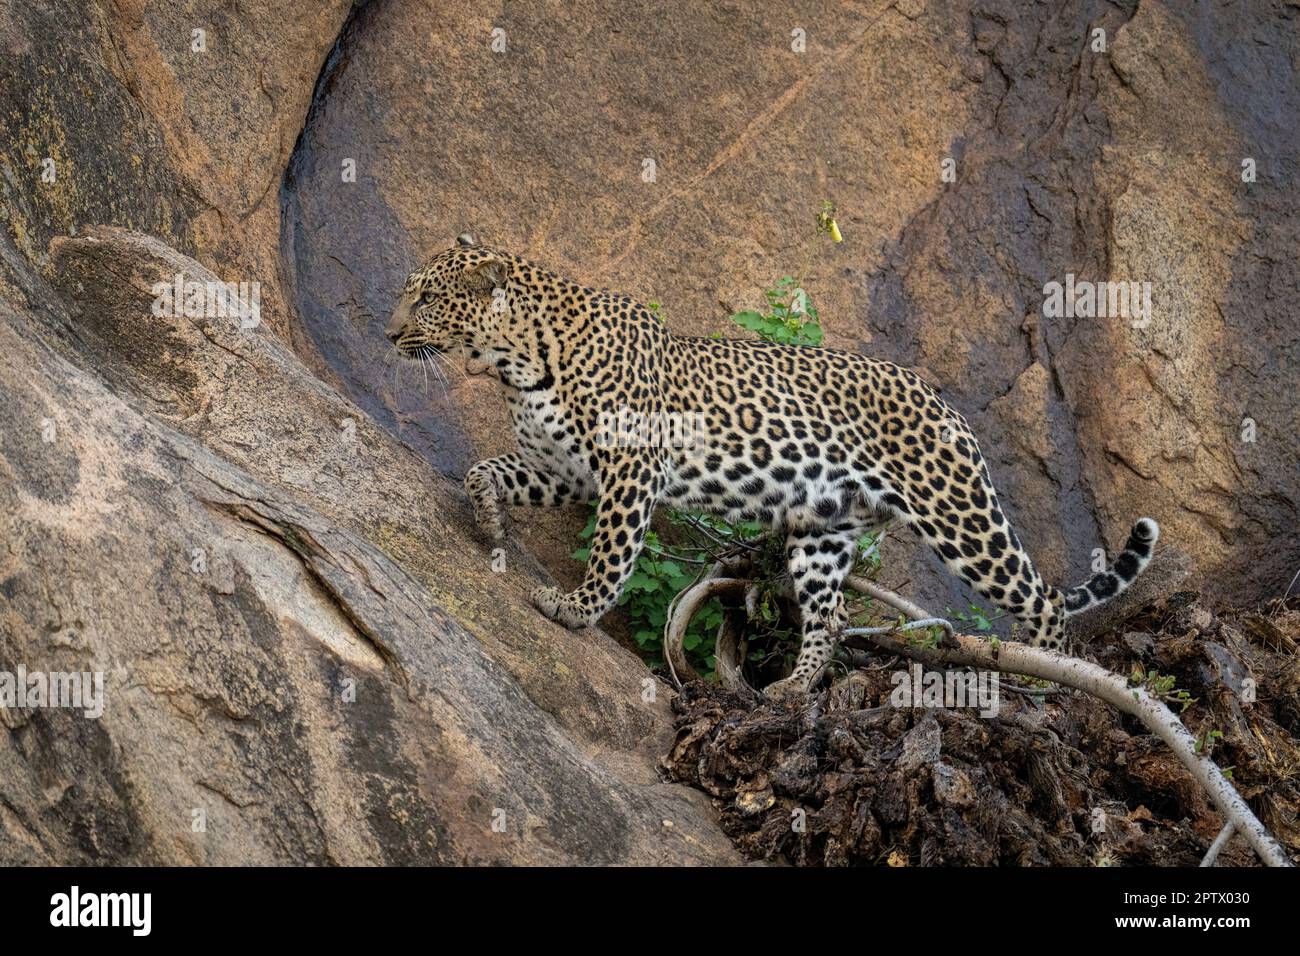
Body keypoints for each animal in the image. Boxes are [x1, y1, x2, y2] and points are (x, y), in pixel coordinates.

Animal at [386, 235, 1160, 699]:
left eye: (425, 296)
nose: (389, 332)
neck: (518, 363)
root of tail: (947, 404)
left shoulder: (629, 470)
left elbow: (611, 553)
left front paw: (575, 610)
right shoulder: (565, 470)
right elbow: (486, 470)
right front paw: (489, 523)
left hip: (960, 516)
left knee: (1043, 601)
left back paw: (1050, 684)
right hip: (824, 529)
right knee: (833, 613)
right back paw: (793, 689)